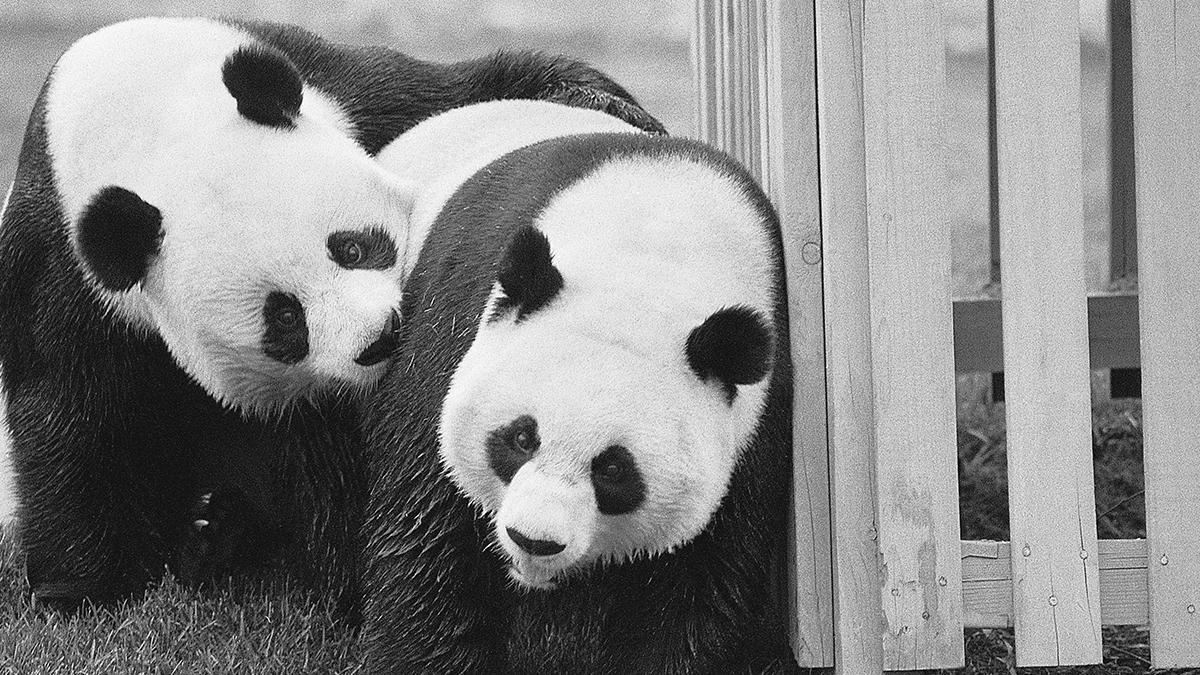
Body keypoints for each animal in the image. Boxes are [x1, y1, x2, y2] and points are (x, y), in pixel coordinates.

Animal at [0, 17, 662, 614]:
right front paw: (80, 587)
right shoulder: (61, 271)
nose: (380, 340)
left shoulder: (355, 95)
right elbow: (72, 414)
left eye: (352, 247)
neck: (149, 119)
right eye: (284, 319)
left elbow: (465, 89)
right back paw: (213, 531)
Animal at [361, 101, 799, 674]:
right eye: (522, 438)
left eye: (613, 469)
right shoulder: (452, 326)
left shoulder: (754, 426)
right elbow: (425, 534)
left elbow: (703, 585)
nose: (534, 539)